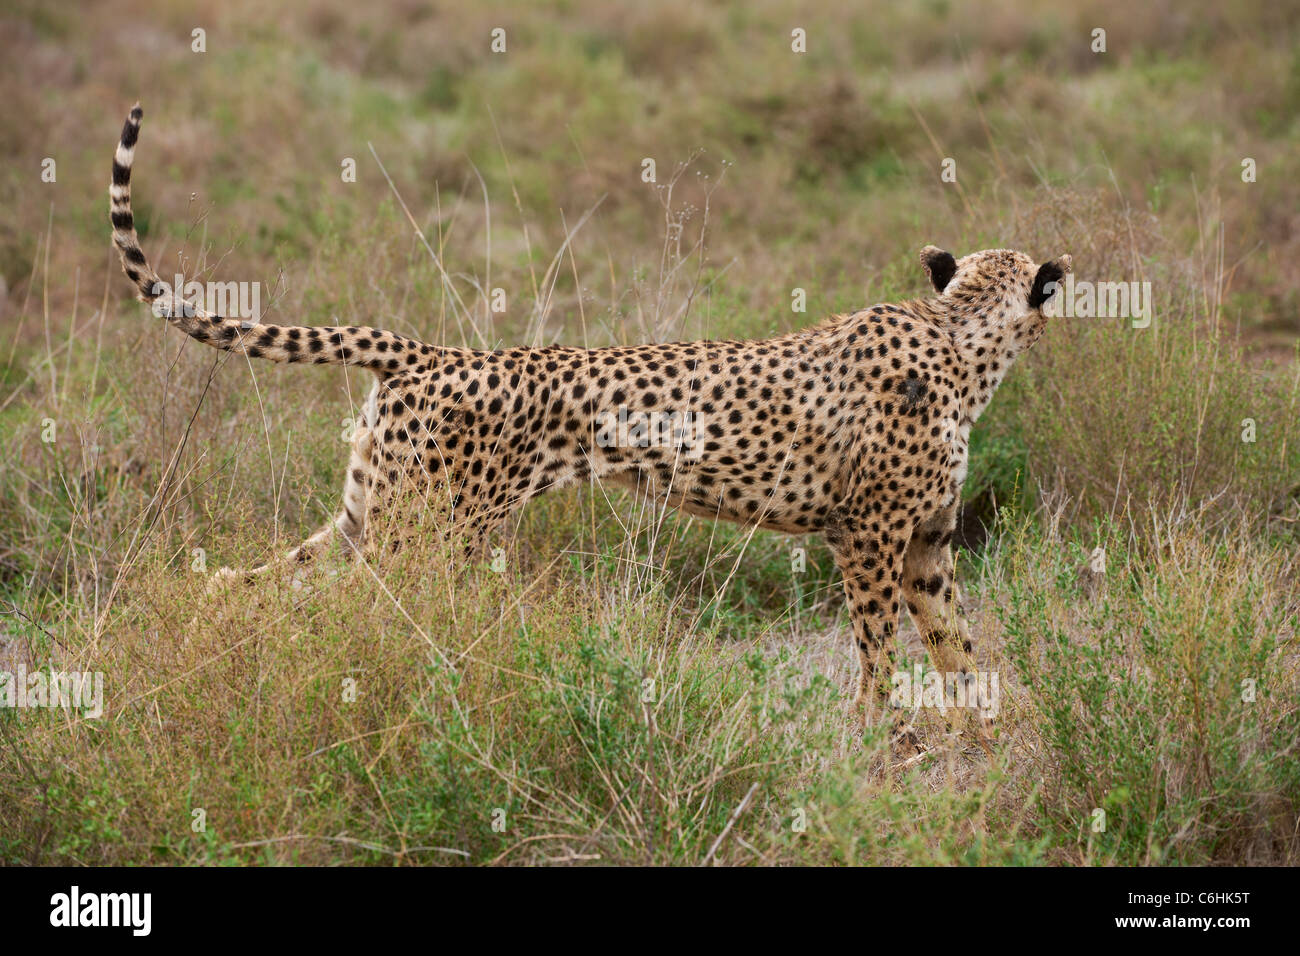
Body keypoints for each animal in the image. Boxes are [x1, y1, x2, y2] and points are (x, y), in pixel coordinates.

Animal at [110, 104, 1071, 756]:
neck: (963, 338)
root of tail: (430, 352)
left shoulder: (928, 541)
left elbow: (956, 642)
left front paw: (980, 729)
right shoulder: (866, 536)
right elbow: (876, 644)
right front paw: (877, 732)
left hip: (367, 516)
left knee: (249, 584)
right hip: (429, 537)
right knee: (354, 618)